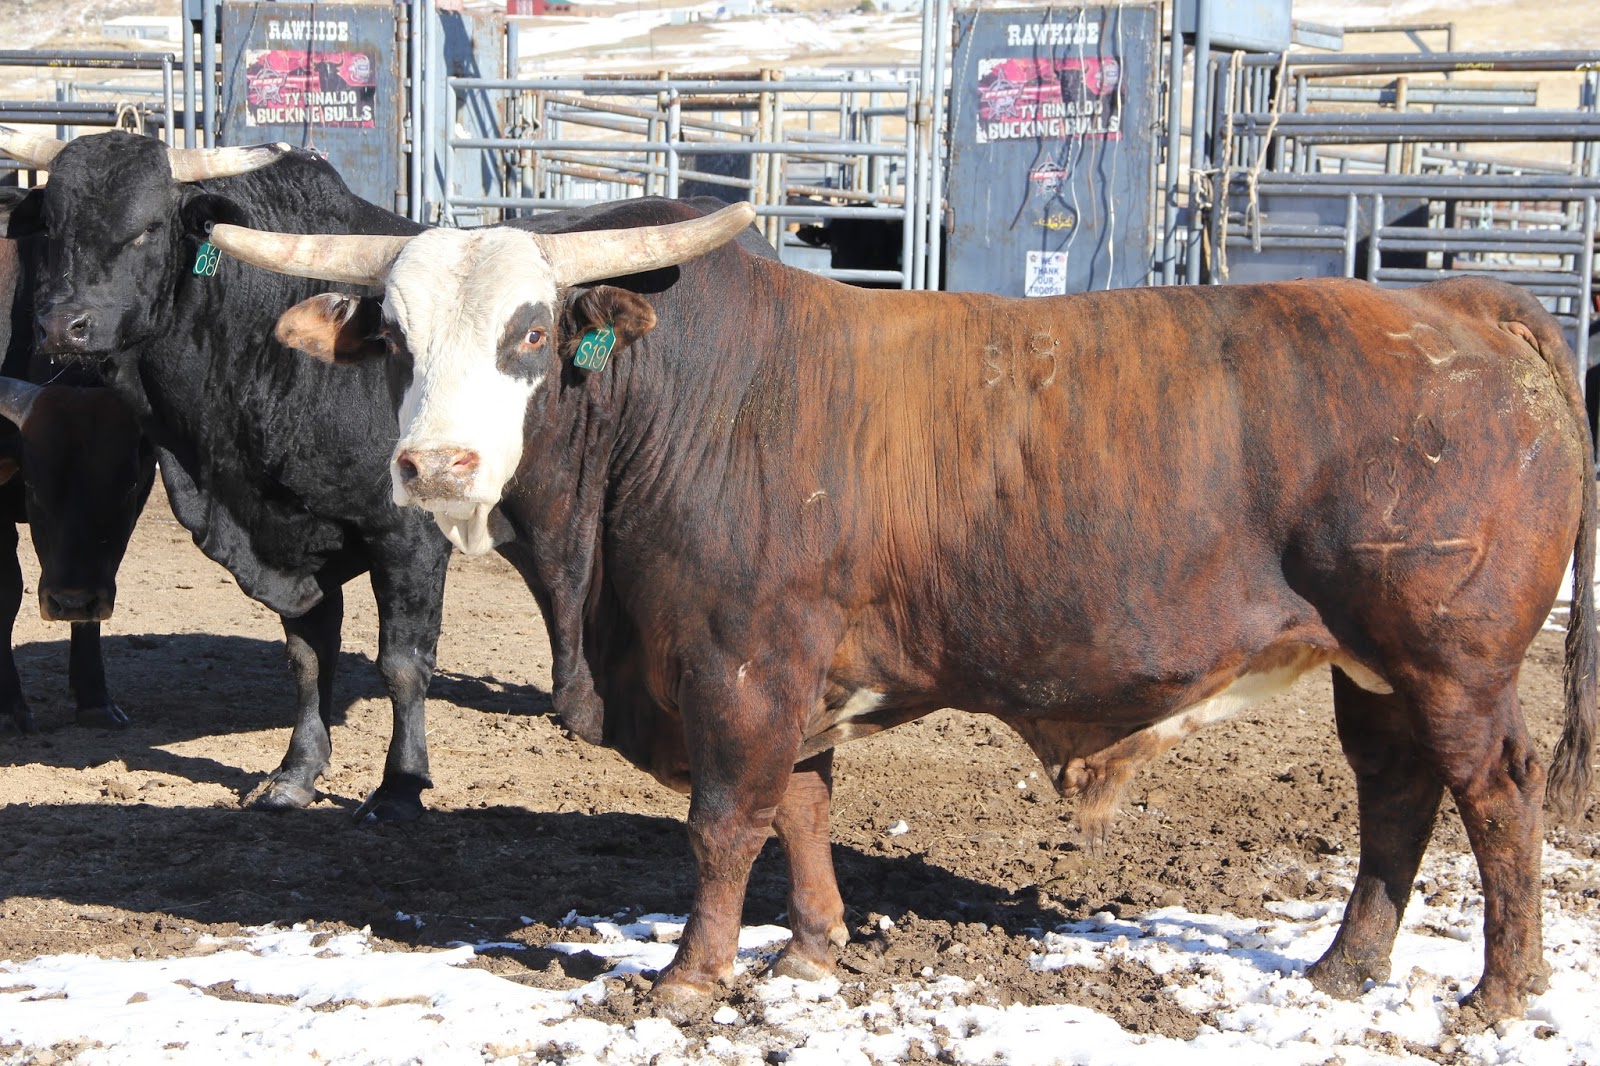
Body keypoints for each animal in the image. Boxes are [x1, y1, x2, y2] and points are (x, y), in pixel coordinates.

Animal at [0, 233, 154, 733]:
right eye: (32, 487)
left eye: (126, 488)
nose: (69, 602)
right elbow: (7, 589)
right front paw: (9, 704)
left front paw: (94, 697)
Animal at [220, 199, 1593, 1024]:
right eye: (393, 337)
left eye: (529, 332)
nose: (434, 465)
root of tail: (1465, 305)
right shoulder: (802, 676)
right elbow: (802, 811)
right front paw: (814, 947)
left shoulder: (742, 664)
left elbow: (725, 823)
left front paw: (690, 978)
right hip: (1373, 667)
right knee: (1395, 792)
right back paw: (1346, 963)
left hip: (1453, 660)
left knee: (1495, 792)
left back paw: (1501, 986)